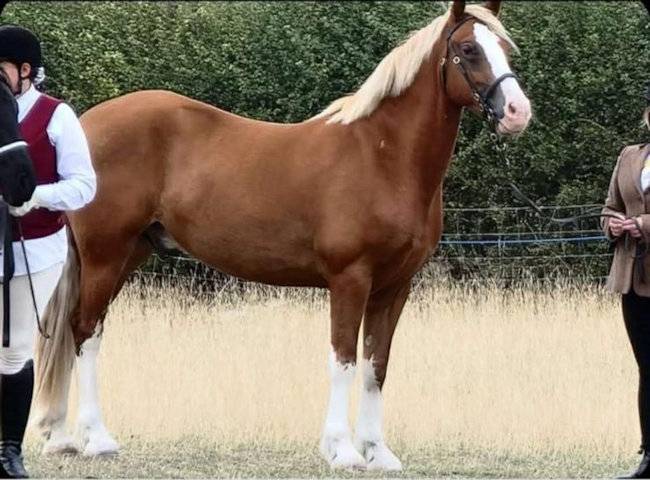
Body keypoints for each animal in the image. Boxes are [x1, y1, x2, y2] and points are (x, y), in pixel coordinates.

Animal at [33, 0, 531, 470]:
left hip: (128, 253)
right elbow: (343, 360)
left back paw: (61, 437)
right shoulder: (350, 280)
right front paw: (342, 451)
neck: (382, 158)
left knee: (81, 331)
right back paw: (95, 439)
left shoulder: (395, 286)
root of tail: (86, 126)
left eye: (506, 49)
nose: (517, 113)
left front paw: (378, 452)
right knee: (84, 332)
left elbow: (376, 366)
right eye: (468, 49)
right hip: (105, 254)